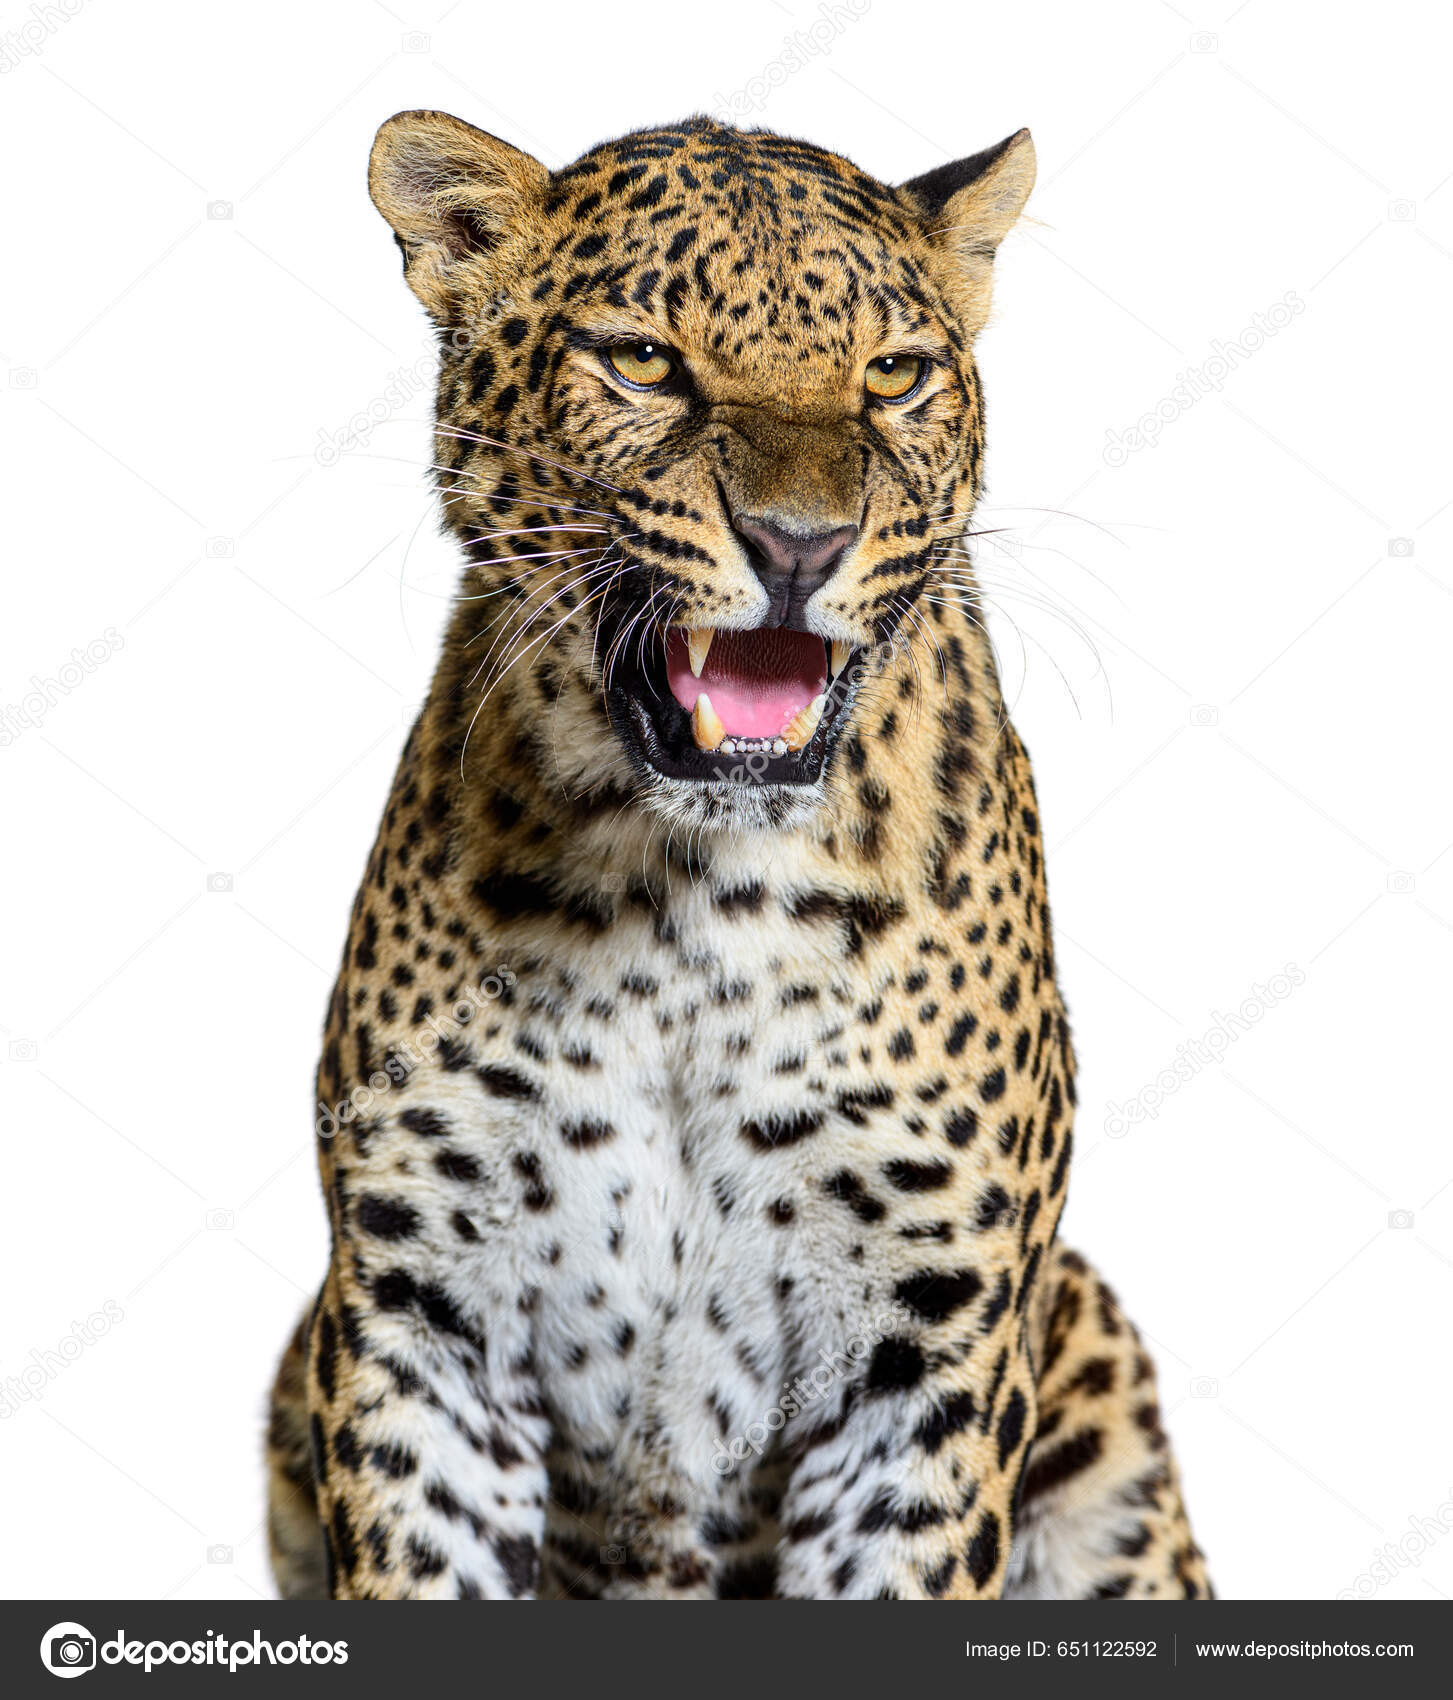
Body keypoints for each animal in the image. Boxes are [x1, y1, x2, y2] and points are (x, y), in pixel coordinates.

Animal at [264, 108, 1211, 1601]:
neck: (688, 909)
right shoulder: (421, 1324)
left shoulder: (921, 1353)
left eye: (893, 374)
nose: (800, 545)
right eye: (645, 361)